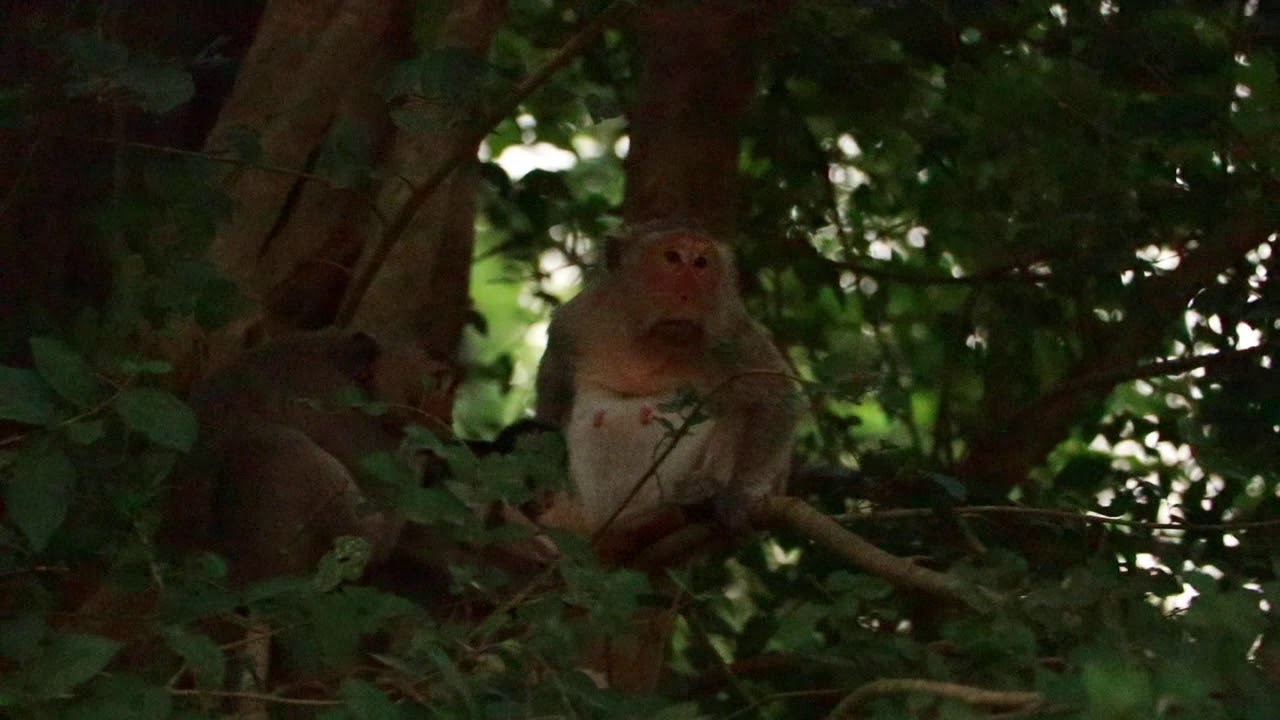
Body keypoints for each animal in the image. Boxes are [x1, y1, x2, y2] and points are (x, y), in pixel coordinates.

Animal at [534, 221, 799, 546]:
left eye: (701, 263)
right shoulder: (573, 322)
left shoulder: (729, 331)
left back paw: (699, 495)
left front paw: (738, 496)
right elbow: (552, 395)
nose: (688, 293)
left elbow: (776, 397)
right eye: (672, 258)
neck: (651, 340)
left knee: (738, 409)